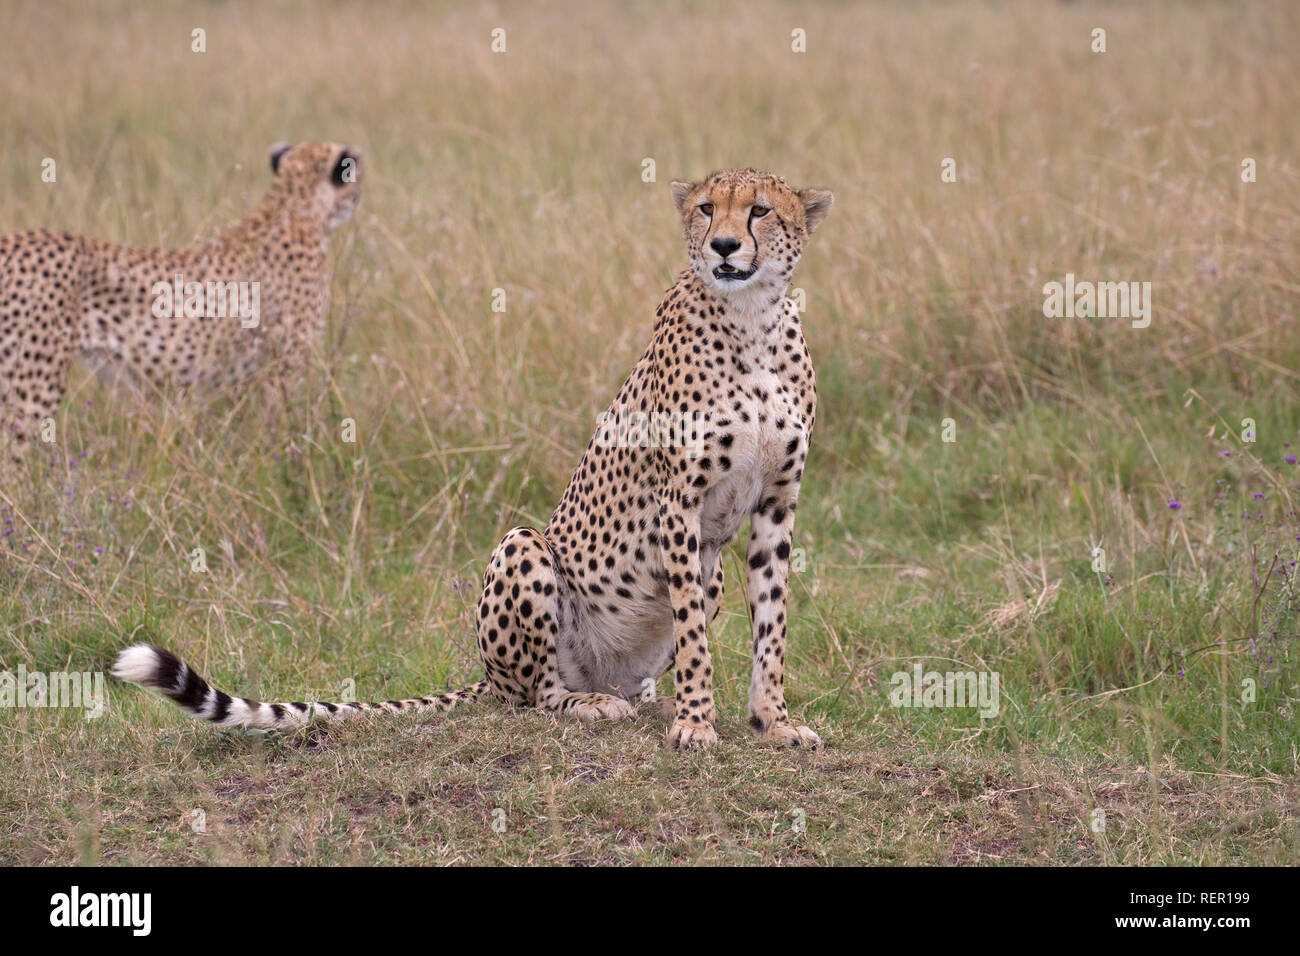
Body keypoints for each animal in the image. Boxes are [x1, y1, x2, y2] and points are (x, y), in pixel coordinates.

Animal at [115, 167, 833, 751]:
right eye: (708, 209)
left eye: (760, 211)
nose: (724, 247)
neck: (754, 320)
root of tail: (488, 677)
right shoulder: (678, 502)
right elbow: (694, 635)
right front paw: (697, 724)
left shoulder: (776, 501)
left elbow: (771, 623)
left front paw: (771, 722)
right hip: (524, 548)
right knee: (538, 693)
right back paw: (591, 702)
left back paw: (649, 699)